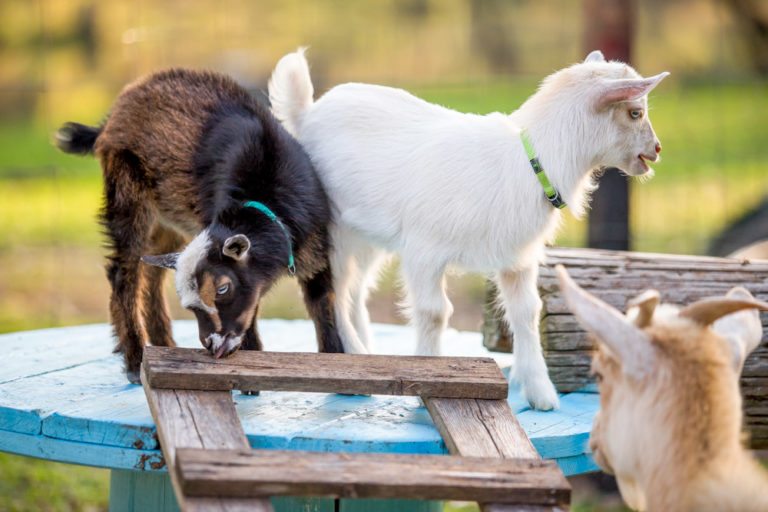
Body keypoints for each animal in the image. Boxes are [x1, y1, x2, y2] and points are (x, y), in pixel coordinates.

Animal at [56, 68, 344, 383]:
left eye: (223, 288)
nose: (211, 344)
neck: (265, 191)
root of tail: (112, 116)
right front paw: (250, 372)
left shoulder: (315, 251)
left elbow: (322, 304)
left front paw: (338, 362)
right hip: (127, 193)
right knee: (123, 271)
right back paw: (134, 360)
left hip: (169, 219)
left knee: (150, 273)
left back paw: (163, 346)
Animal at [268, 48, 669, 410]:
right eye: (635, 112)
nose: (657, 150)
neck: (528, 160)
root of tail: (307, 113)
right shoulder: (425, 250)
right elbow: (434, 312)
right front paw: (429, 381)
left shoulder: (517, 260)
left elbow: (527, 312)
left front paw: (541, 394)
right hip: (335, 230)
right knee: (332, 291)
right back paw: (353, 357)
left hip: (365, 236)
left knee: (356, 290)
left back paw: (366, 355)